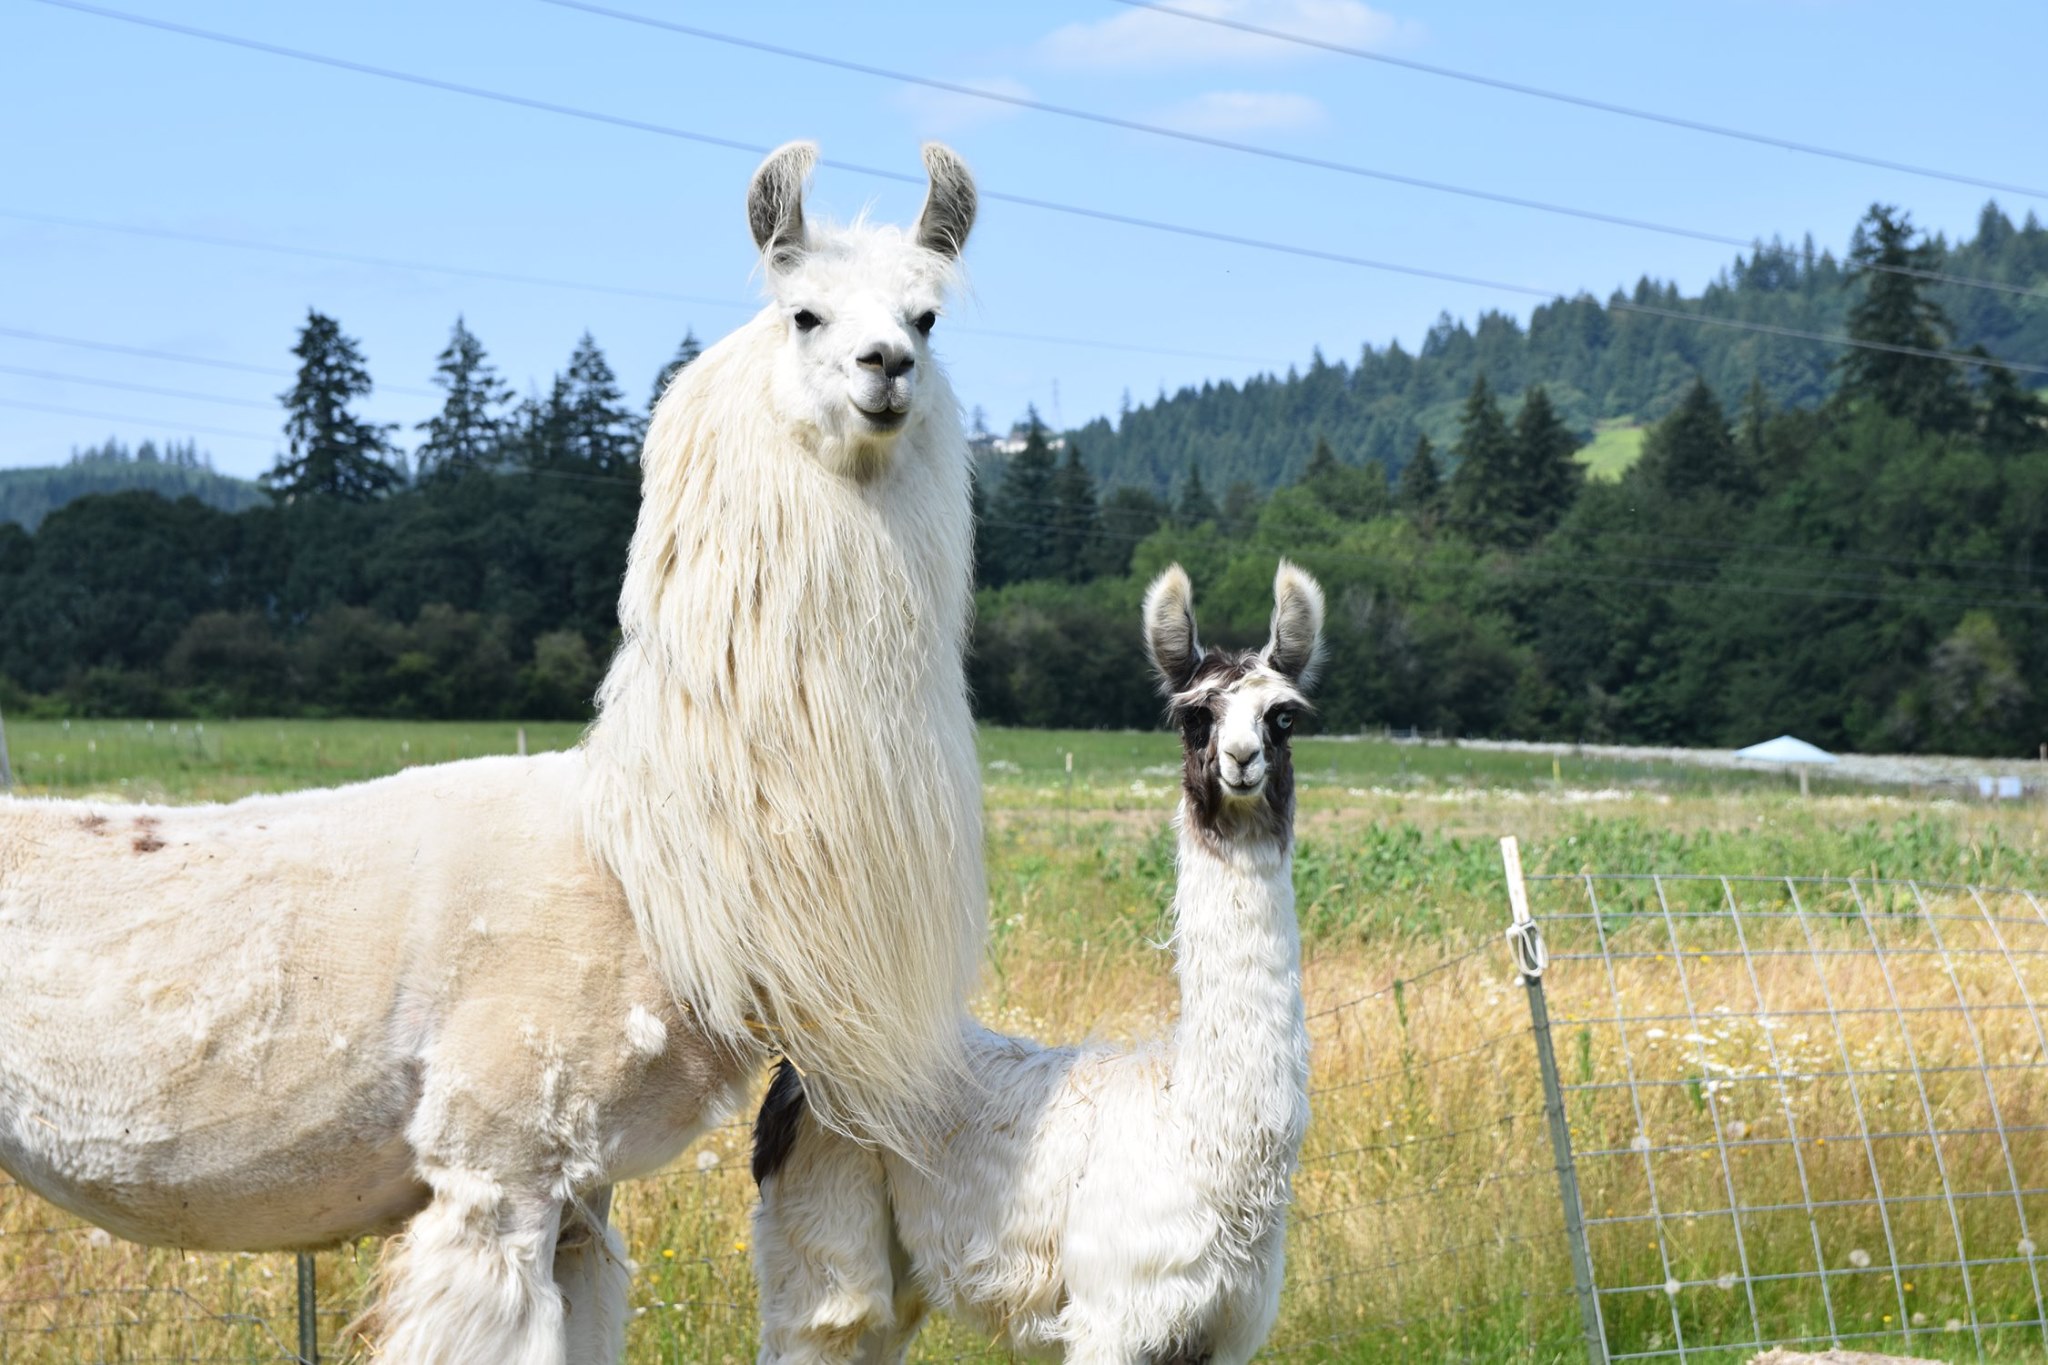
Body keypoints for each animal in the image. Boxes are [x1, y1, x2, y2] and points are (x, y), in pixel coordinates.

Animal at [0, 139, 985, 1365]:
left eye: (927, 316)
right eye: (804, 313)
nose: (884, 366)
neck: (640, 861)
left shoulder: (579, 1191)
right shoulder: (497, 1155)